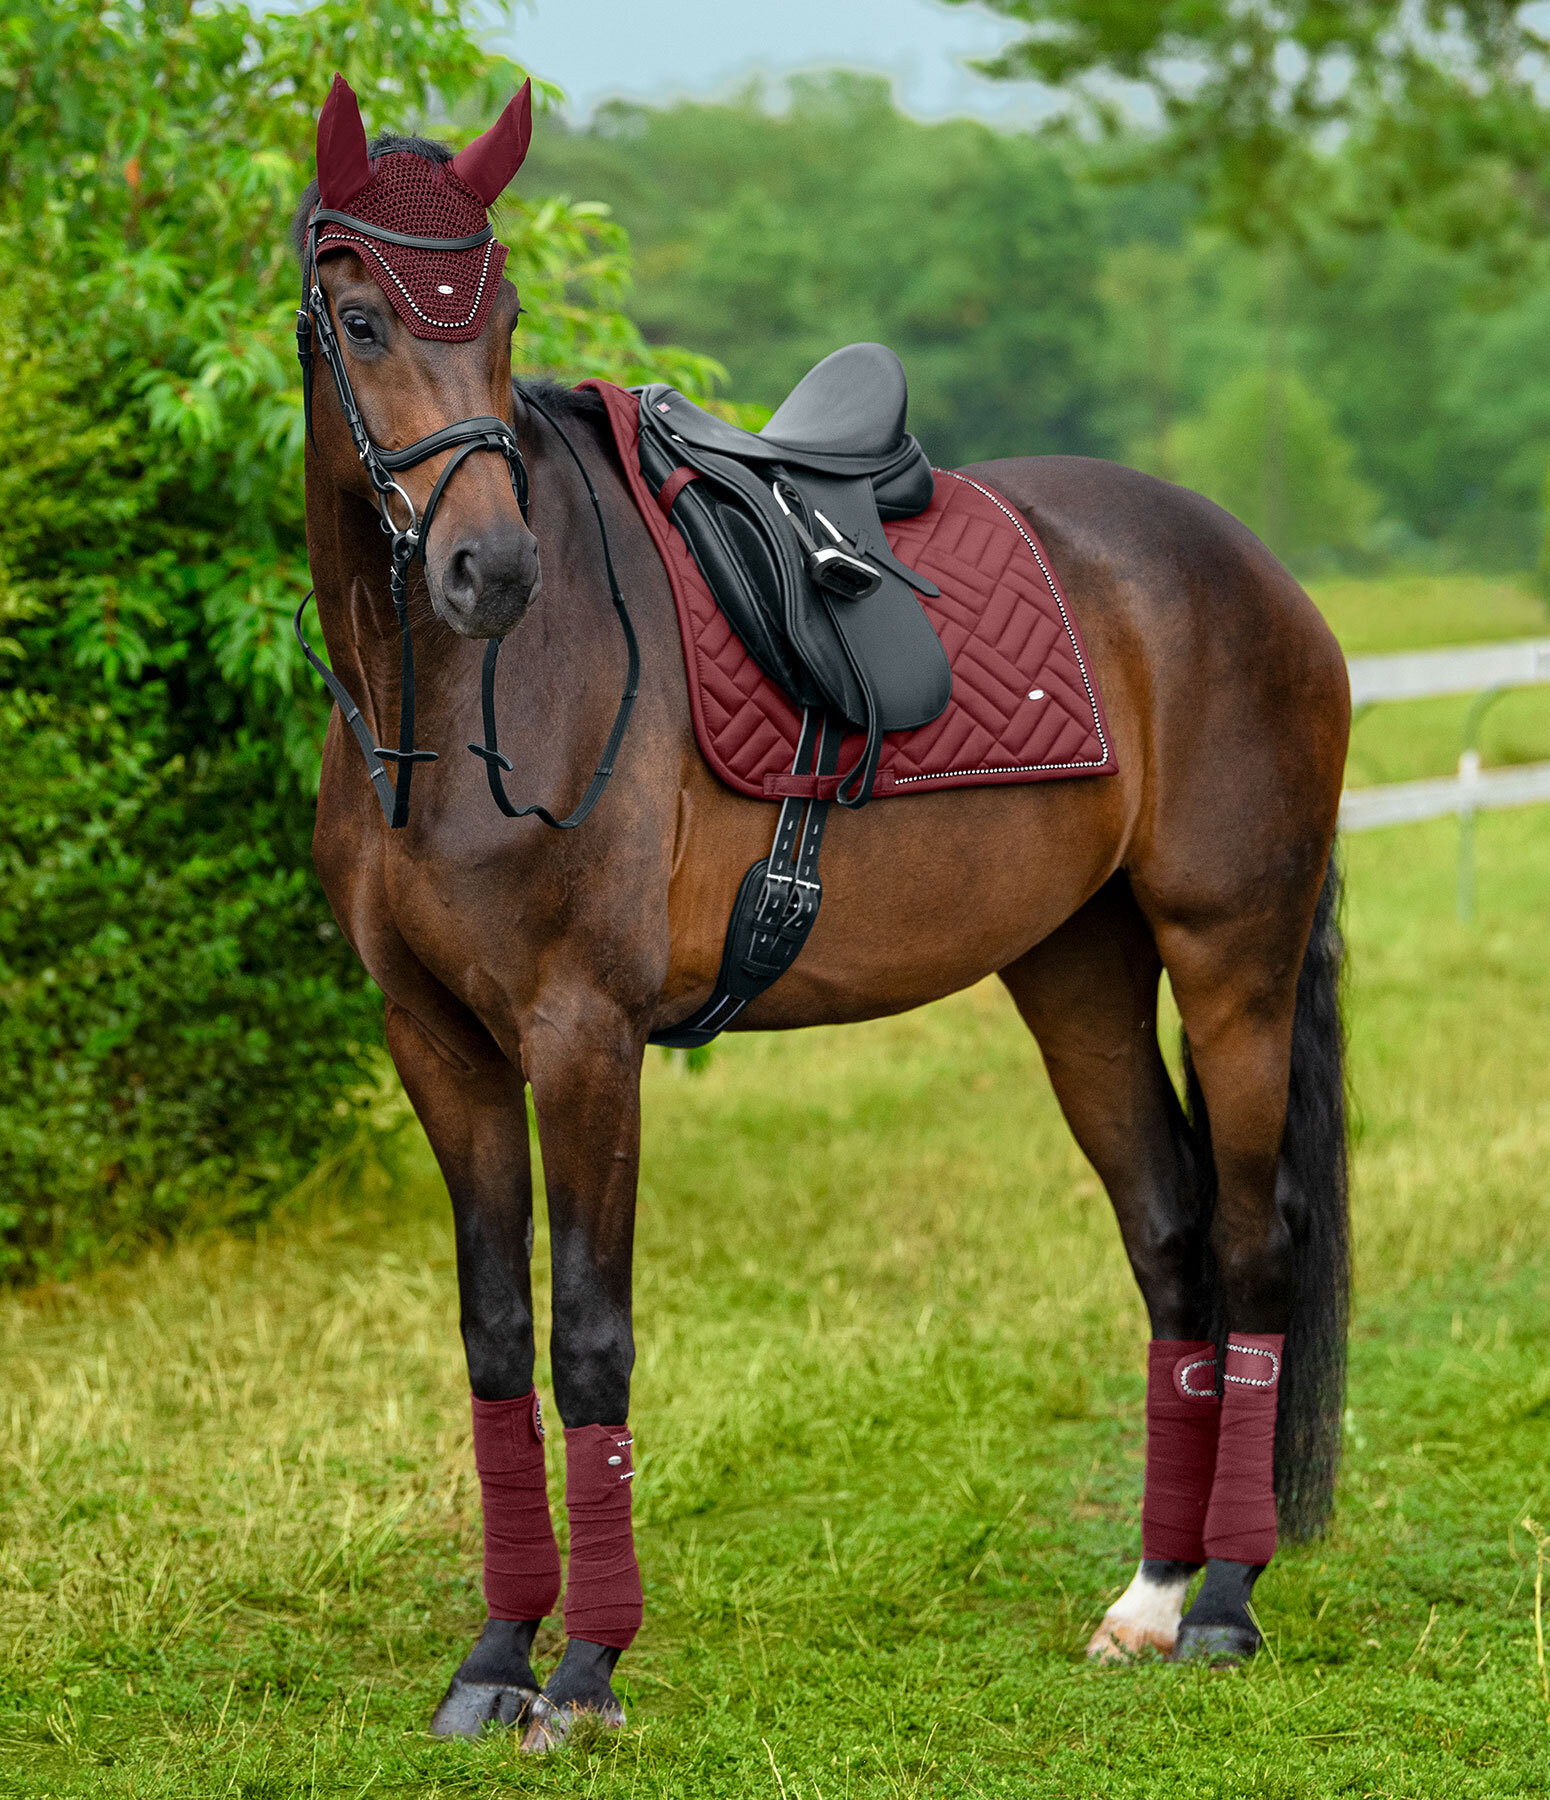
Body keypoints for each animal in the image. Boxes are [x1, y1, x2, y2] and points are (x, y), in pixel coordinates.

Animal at [292, 79, 1351, 1749]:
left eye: (503, 315)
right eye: (359, 316)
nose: (490, 568)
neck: (451, 709)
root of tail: (1248, 566)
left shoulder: (585, 1038)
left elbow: (590, 1338)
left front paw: (582, 1674)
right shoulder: (438, 1045)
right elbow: (494, 1334)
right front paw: (493, 1656)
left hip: (1229, 961)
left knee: (1253, 1246)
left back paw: (1224, 1606)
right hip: (1077, 977)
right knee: (1171, 1238)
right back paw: (1149, 1594)